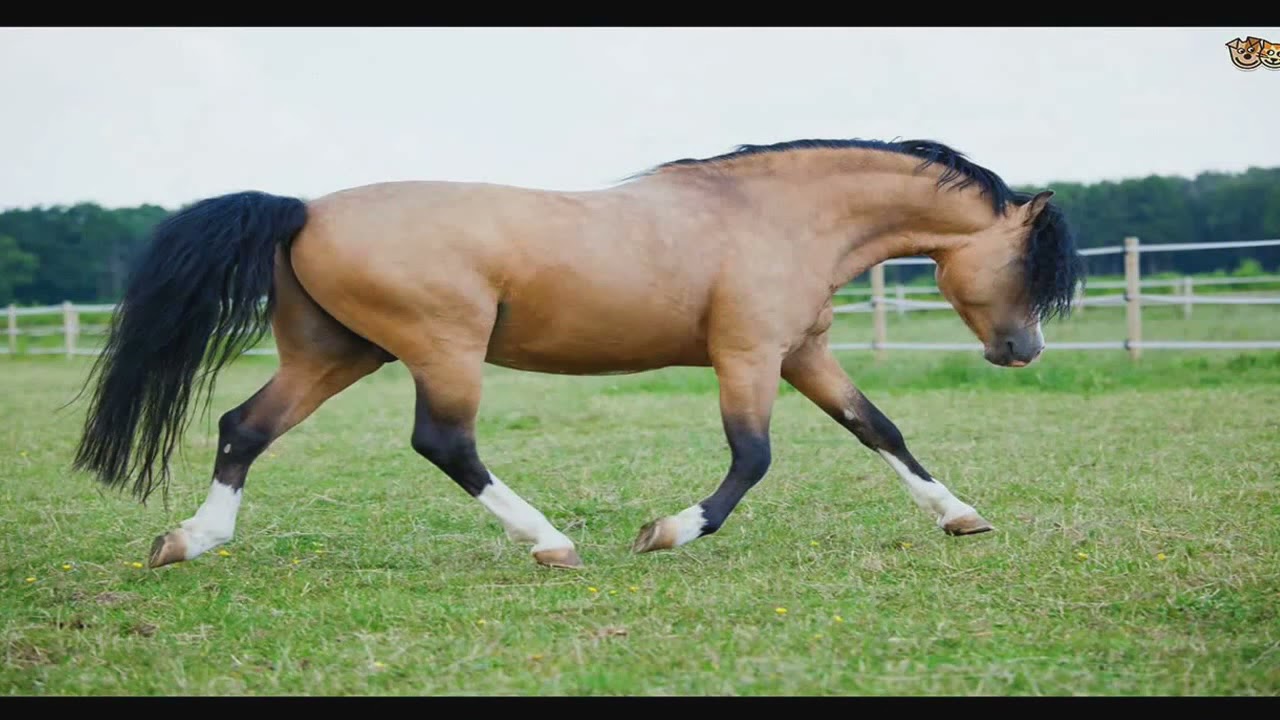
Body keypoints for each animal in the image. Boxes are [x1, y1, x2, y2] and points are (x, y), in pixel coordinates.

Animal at [70, 137, 1085, 571]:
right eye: (1028, 267)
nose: (1023, 351)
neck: (773, 214)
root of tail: (301, 207)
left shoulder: (802, 355)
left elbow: (880, 429)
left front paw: (961, 517)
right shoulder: (748, 354)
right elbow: (752, 457)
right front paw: (668, 530)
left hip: (335, 354)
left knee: (244, 426)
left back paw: (190, 540)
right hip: (441, 349)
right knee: (446, 444)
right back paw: (551, 541)